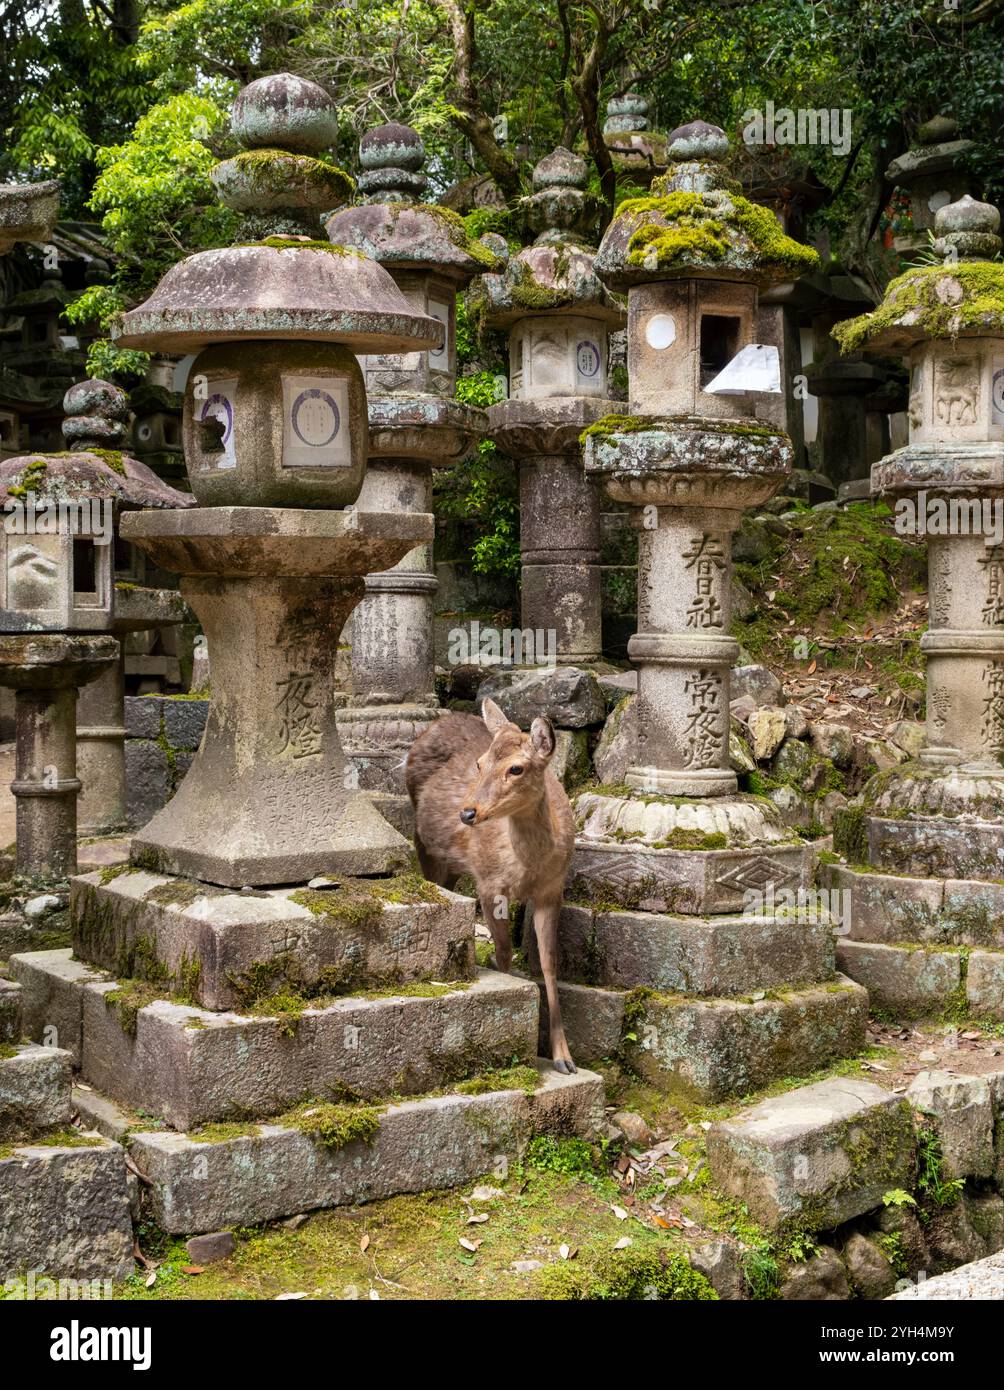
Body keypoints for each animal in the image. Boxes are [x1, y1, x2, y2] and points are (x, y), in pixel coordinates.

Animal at [405, 697, 576, 1073]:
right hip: (423, 840)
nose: (468, 813)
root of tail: (436, 722)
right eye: (480, 764)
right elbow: (504, 952)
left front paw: (563, 1056)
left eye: (517, 769)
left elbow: (549, 963)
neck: (527, 868)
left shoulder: (552, 889)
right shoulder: (488, 884)